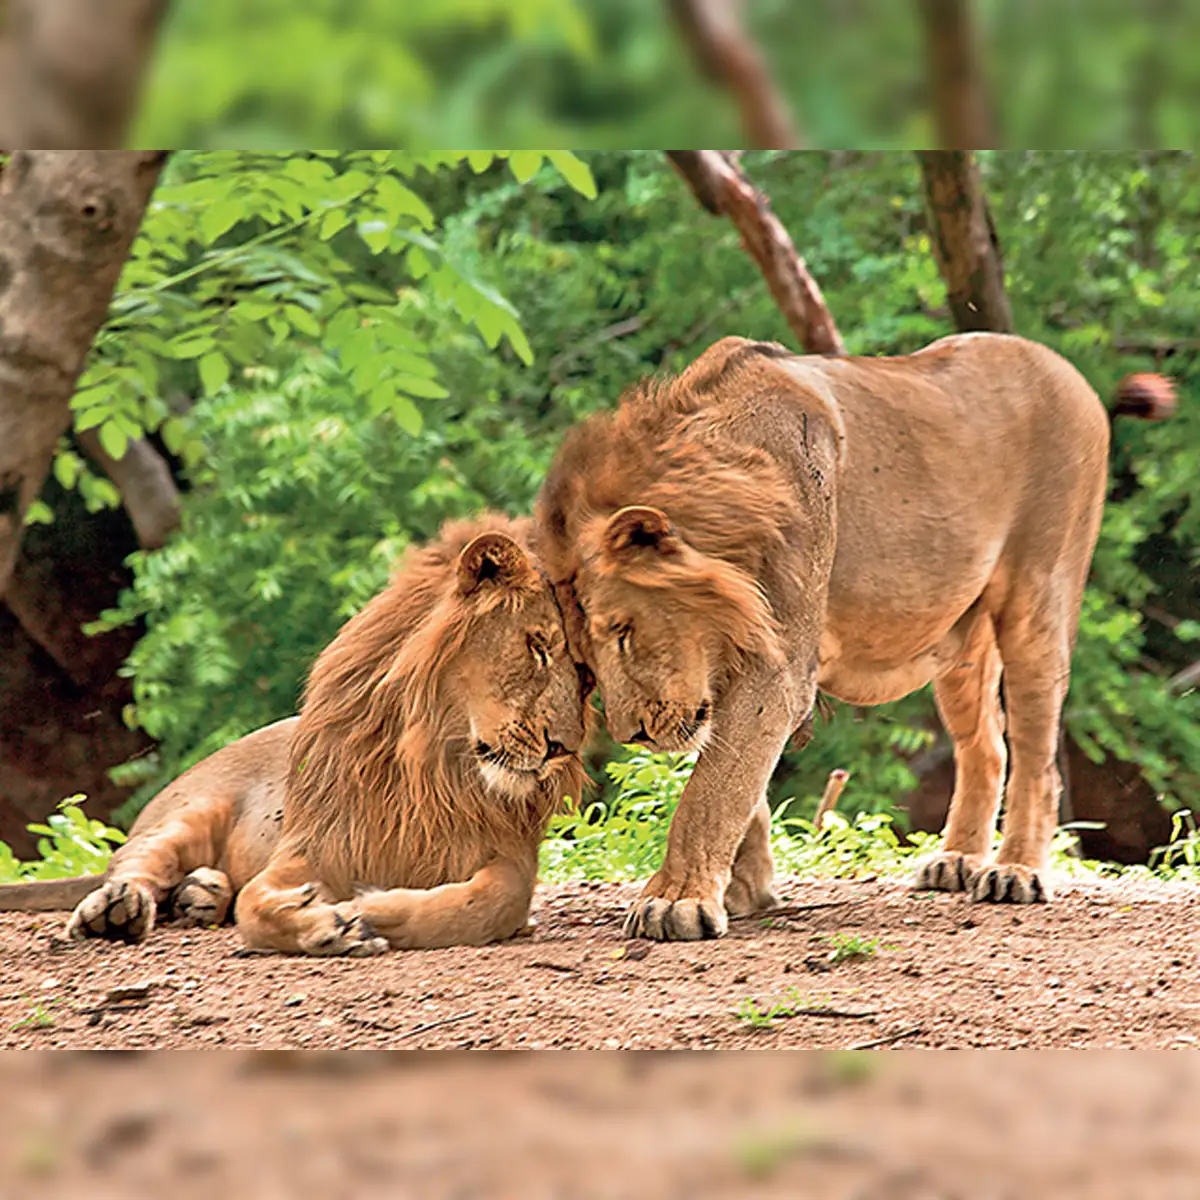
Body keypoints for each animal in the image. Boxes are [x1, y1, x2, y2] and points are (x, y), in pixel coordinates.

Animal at [0, 516, 589, 955]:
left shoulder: (511, 860)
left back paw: (200, 894)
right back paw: (117, 911)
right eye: (538, 646)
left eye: (585, 675)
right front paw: (332, 923)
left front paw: (371, 908)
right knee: (131, 865)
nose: (561, 747)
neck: (435, 765)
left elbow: (483, 904)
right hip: (187, 811)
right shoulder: (311, 850)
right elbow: (256, 908)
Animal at [535, 333, 1172, 941]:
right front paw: (747, 891)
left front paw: (676, 901)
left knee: (1039, 757)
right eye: (583, 660)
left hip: (1039, 599)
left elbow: (710, 792)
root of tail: (1066, 371)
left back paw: (1015, 870)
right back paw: (956, 861)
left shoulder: (780, 668)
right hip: (957, 640)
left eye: (622, 630)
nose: (632, 734)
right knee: (986, 747)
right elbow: (740, 784)